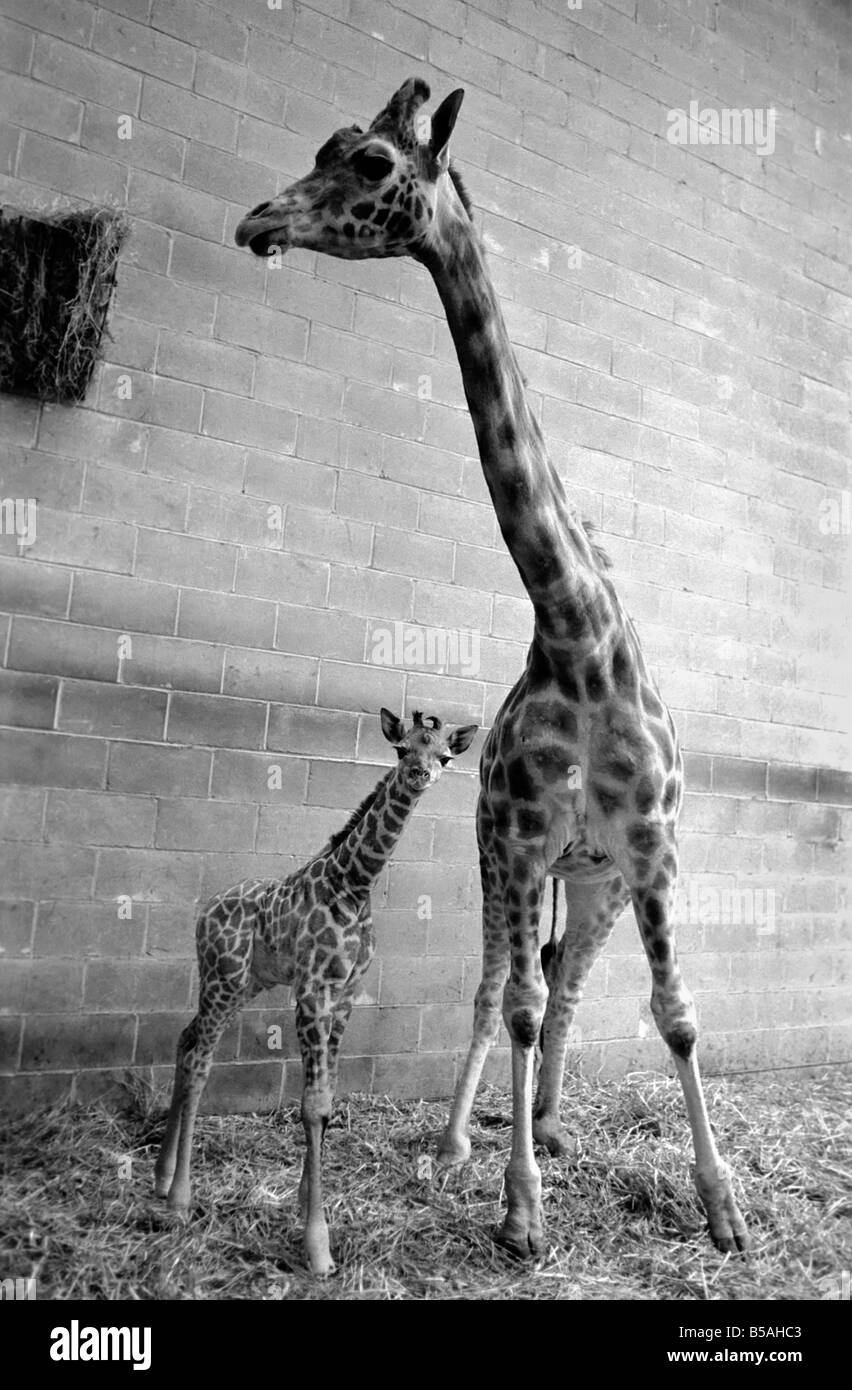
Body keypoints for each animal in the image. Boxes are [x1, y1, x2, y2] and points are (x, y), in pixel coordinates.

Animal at [154, 708, 477, 1276]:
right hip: (224, 977)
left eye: (444, 755)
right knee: (199, 1058)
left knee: (186, 1038)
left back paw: (161, 1175)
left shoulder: (345, 996)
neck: (353, 885)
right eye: (402, 749)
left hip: (240, 982)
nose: (420, 775)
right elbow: (313, 1107)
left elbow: (327, 1100)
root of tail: (205, 911)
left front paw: (308, 1213)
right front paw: (319, 1248)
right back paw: (179, 1199)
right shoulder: (310, 991)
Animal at [234, 78, 749, 1259]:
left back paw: (550, 1121)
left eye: (371, 162)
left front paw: (722, 1207)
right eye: (325, 146)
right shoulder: (515, 840)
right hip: (506, 860)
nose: (257, 221)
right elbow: (508, 1004)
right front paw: (520, 1210)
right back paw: (467, 1141)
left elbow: (678, 1016)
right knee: (499, 989)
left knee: (560, 979)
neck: (579, 627)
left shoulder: (649, 844)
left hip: (591, 878)